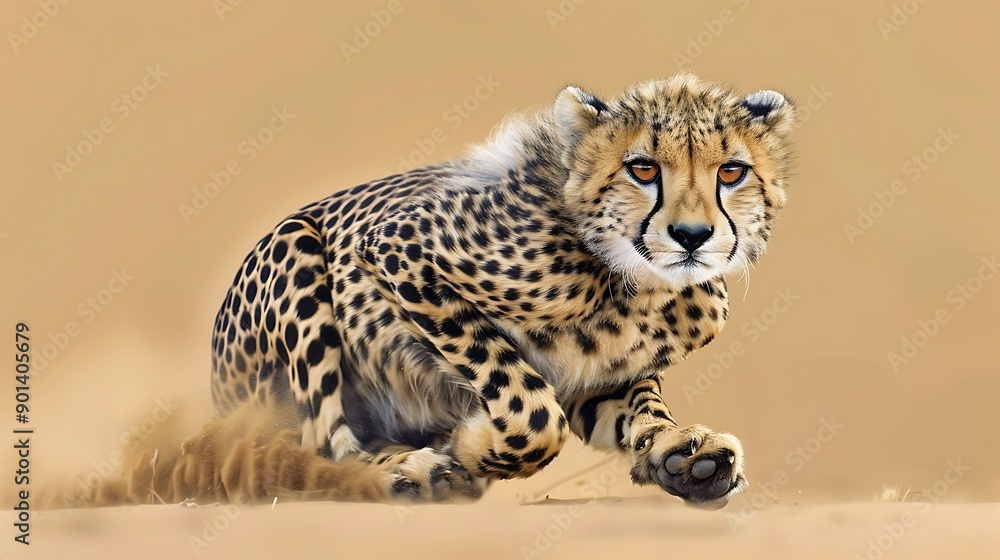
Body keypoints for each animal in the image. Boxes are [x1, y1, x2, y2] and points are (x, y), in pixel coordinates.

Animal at [209, 71, 796, 510]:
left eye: (732, 172)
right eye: (643, 168)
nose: (693, 236)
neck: (634, 282)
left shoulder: (595, 379)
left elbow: (638, 405)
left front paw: (682, 454)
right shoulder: (400, 247)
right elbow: (529, 406)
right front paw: (472, 446)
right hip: (294, 247)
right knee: (322, 446)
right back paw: (408, 469)